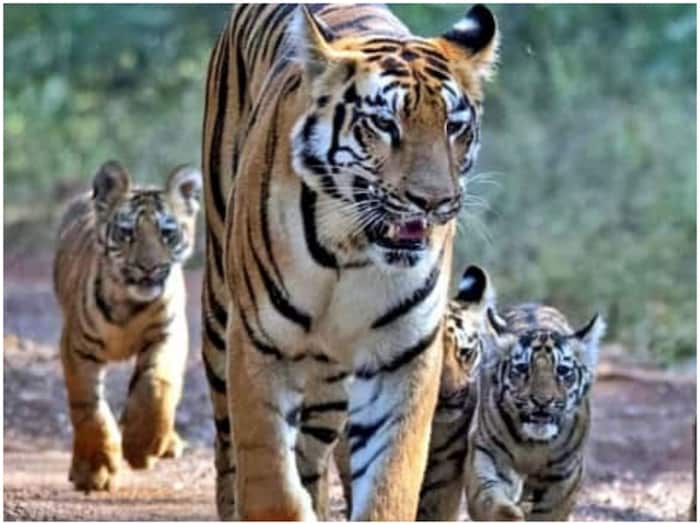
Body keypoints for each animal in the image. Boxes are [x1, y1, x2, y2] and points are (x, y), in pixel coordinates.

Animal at [53, 160, 202, 492]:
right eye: (126, 233)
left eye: (167, 234)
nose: (148, 267)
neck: (129, 306)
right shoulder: (77, 346)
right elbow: (89, 407)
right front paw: (94, 469)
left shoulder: (169, 334)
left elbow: (155, 385)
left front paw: (142, 447)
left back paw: (167, 443)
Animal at [200, 3, 499, 520]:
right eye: (385, 125)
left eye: (453, 127)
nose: (434, 202)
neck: (350, 251)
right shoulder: (259, 343)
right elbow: (267, 474)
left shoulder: (404, 356)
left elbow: (391, 483)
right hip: (219, 314)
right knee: (228, 445)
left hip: (330, 384)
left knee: (311, 453)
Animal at [465, 303, 605, 521]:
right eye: (523, 368)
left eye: (562, 370)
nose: (542, 401)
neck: (533, 446)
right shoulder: (487, 451)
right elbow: (492, 500)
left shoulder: (565, 474)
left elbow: (548, 512)